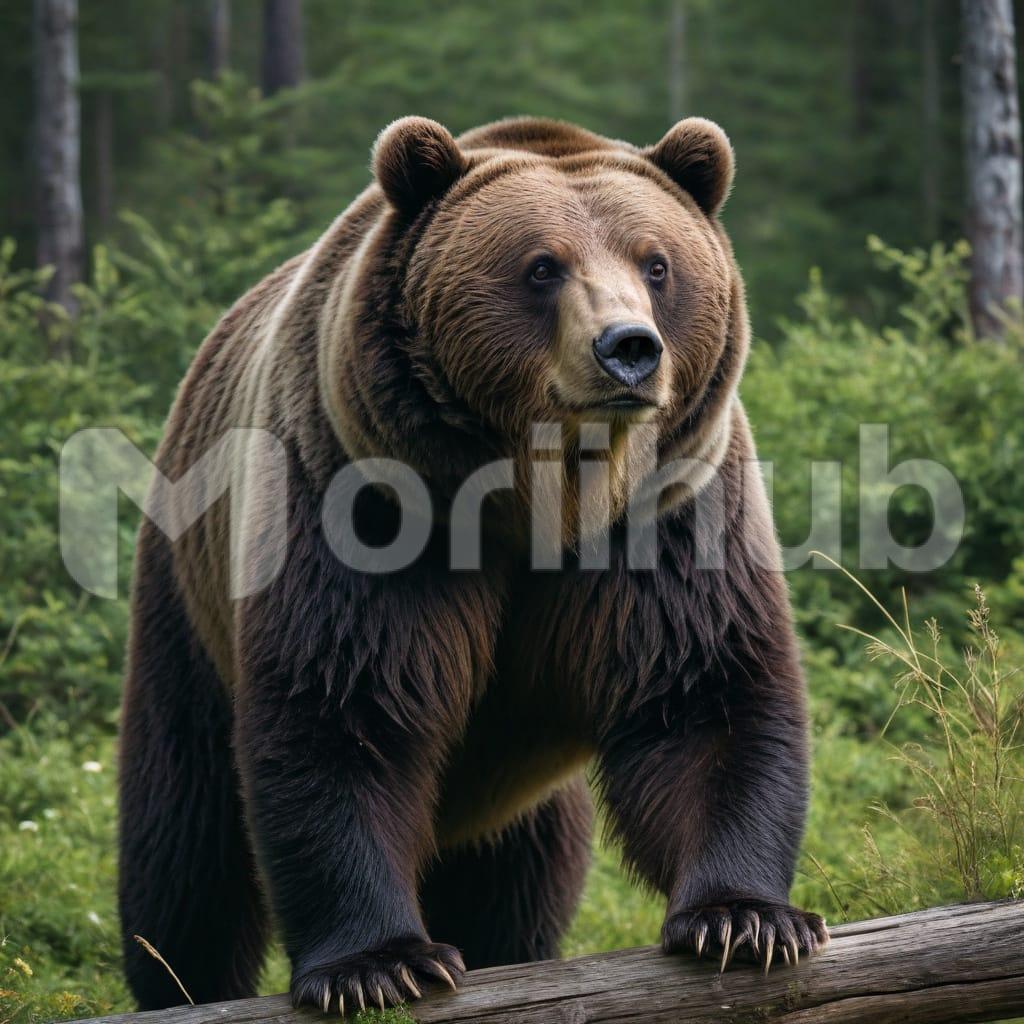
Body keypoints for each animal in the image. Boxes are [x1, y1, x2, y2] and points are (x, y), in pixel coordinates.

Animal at [118, 114, 827, 1014]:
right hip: (186, 591)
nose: (629, 349)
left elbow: (705, 691)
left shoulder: (671, 515)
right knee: (187, 827)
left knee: (521, 868)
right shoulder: (369, 503)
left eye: (657, 263)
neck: (536, 497)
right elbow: (343, 705)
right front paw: (380, 964)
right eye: (542, 265)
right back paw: (183, 980)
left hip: (515, 786)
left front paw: (745, 920)